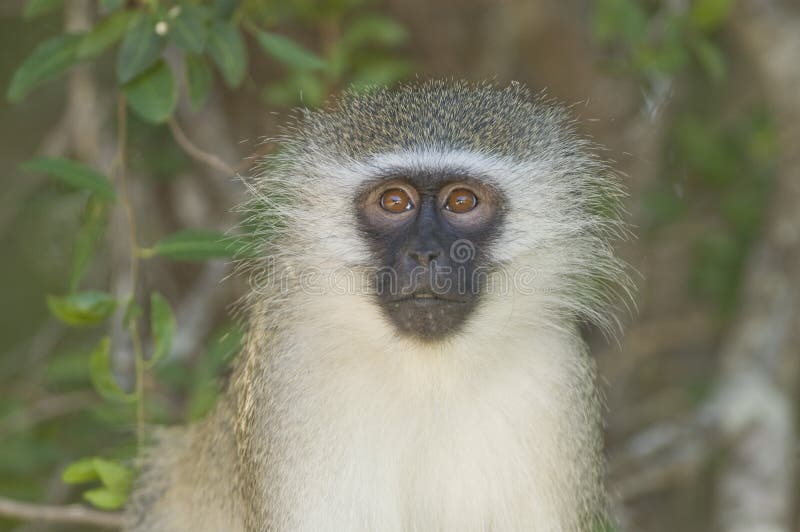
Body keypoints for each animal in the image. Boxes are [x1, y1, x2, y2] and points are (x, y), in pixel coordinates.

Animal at [124, 80, 628, 532]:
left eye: (462, 201)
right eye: (395, 201)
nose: (425, 253)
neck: (428, 373)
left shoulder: (554, 376)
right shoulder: (288, 378)